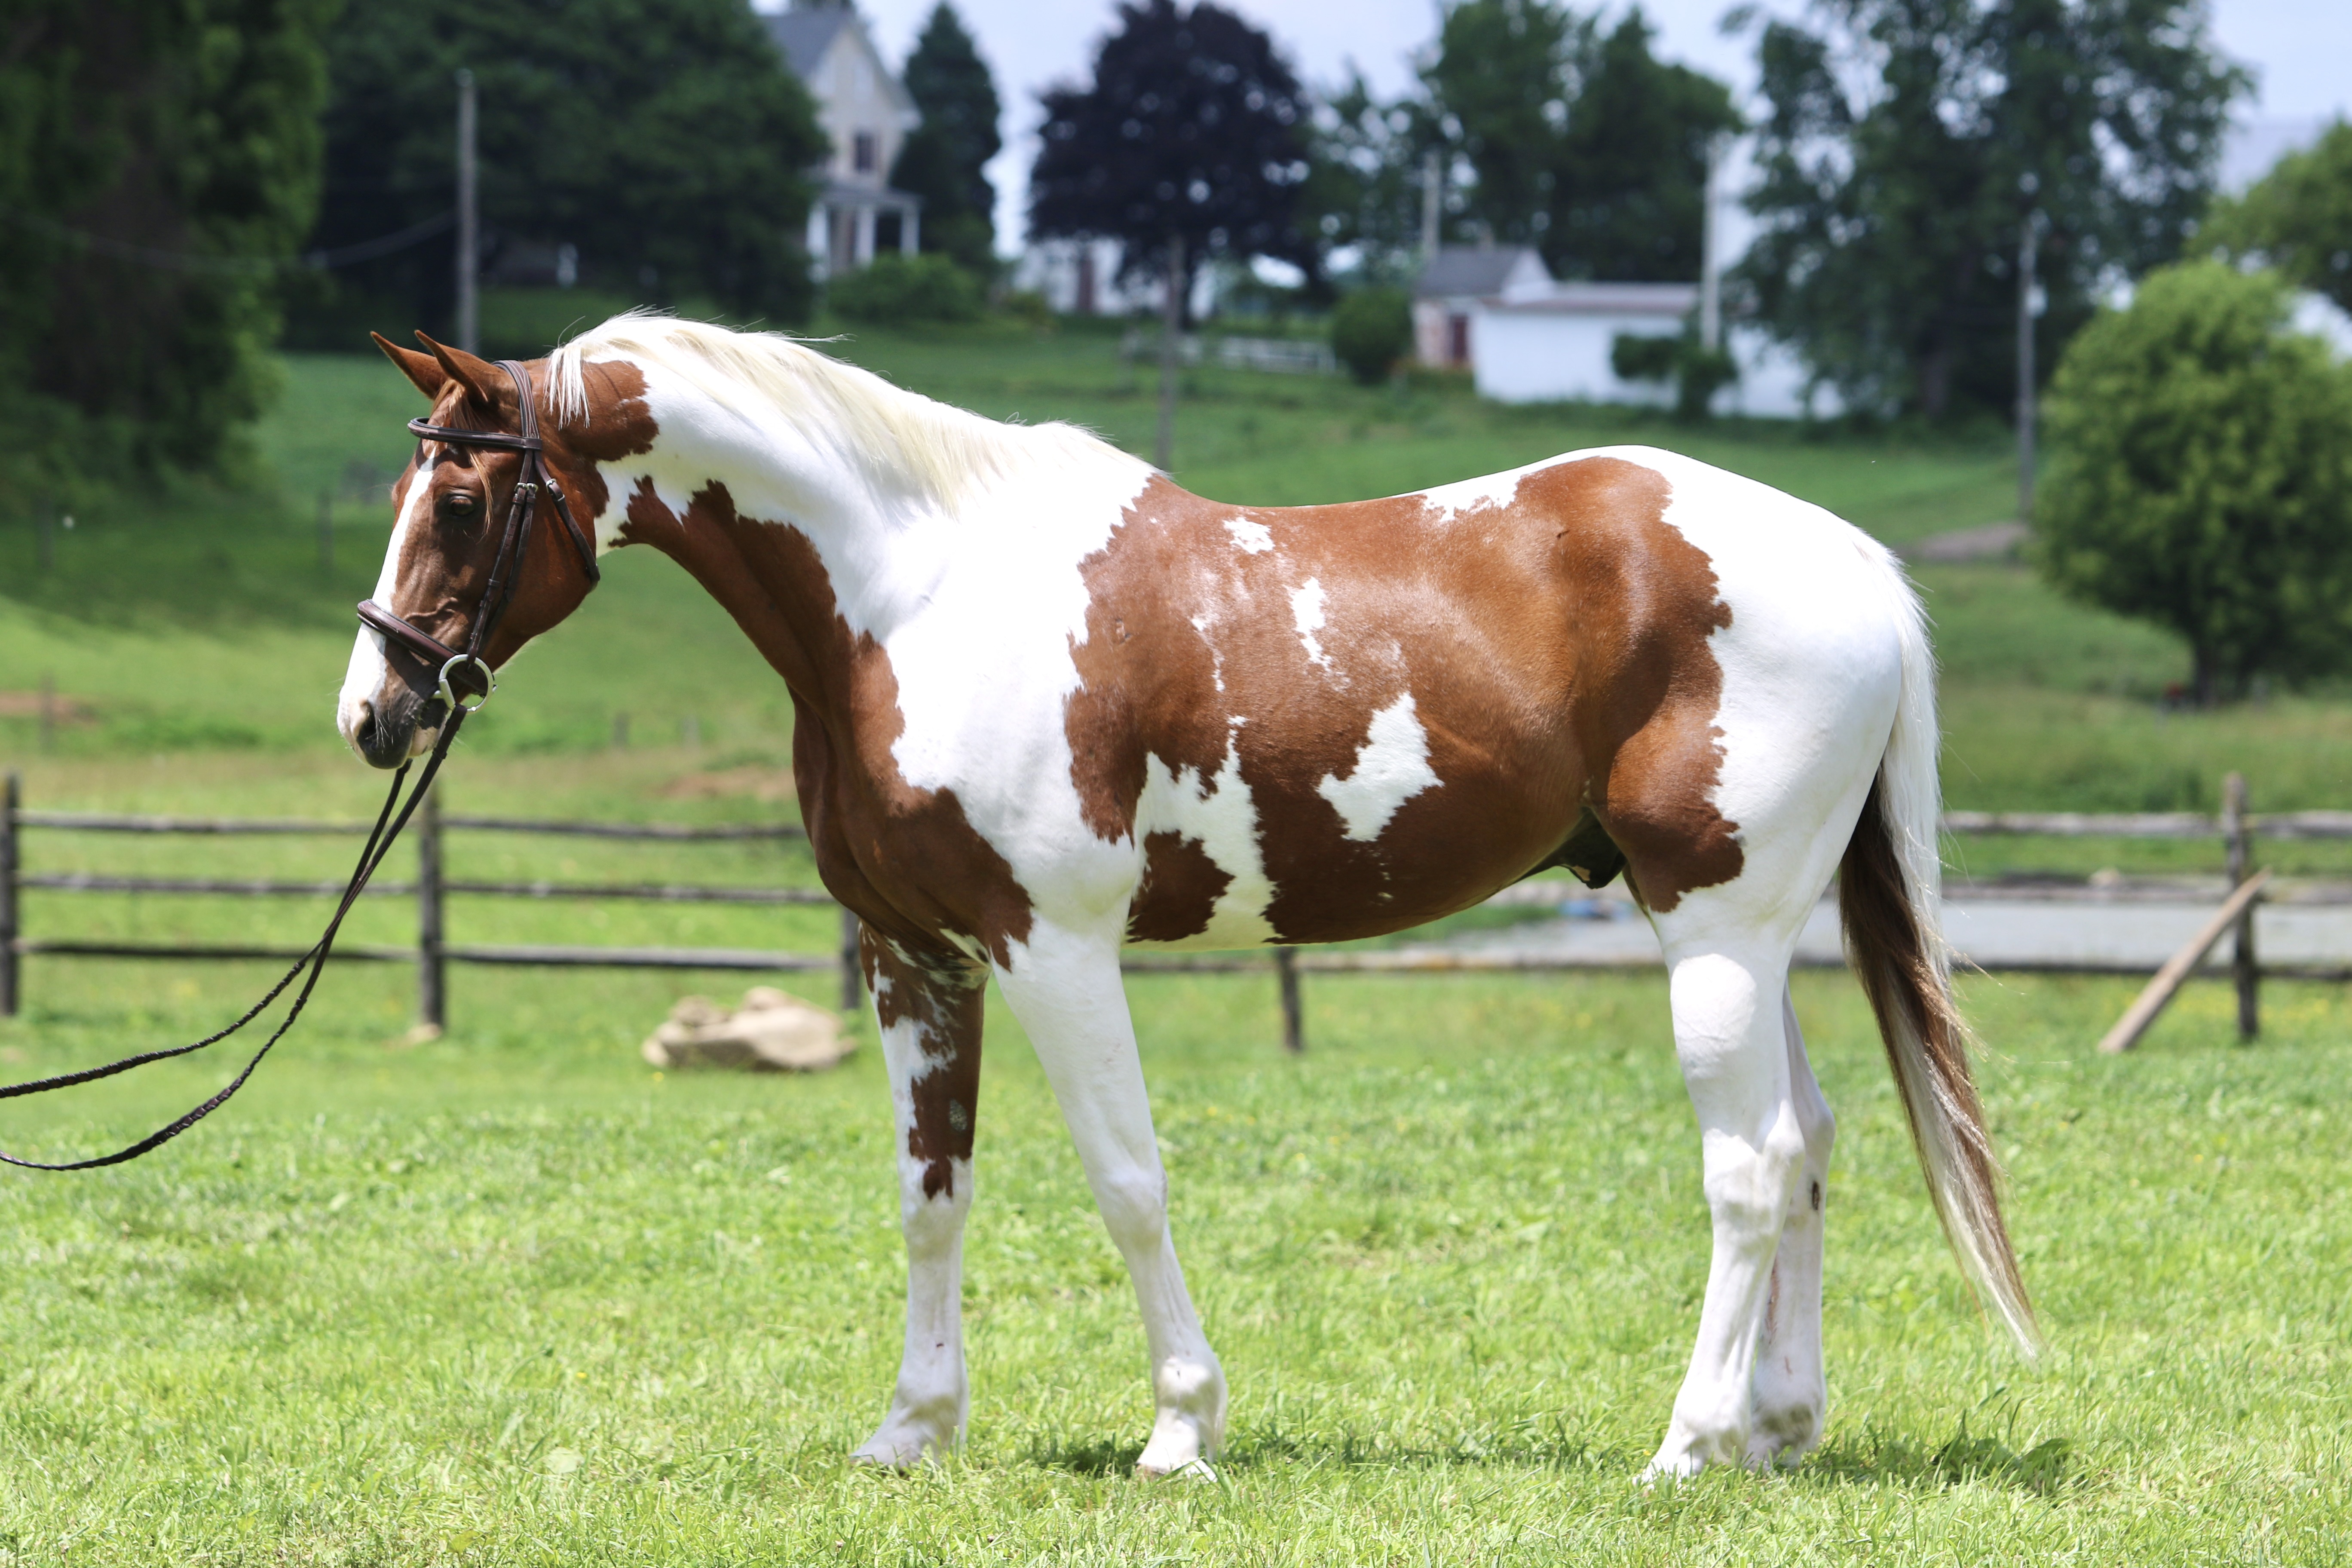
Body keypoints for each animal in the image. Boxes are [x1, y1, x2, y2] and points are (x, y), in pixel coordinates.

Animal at [337, 314, 2035, 1479]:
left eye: (463, 505)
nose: (375, 708)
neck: (913, 594)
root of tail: (1857, 564)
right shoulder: (915, 956)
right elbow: (930, 1192)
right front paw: (914, 1426)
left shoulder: (1052, 949)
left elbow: (1127, 1181)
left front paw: (1179, 1427)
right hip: (1752, 937)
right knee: (1809, 1145)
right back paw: (1776, 1427)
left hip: (1717, 935)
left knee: (1748, 1166)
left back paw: (1683, 1445)